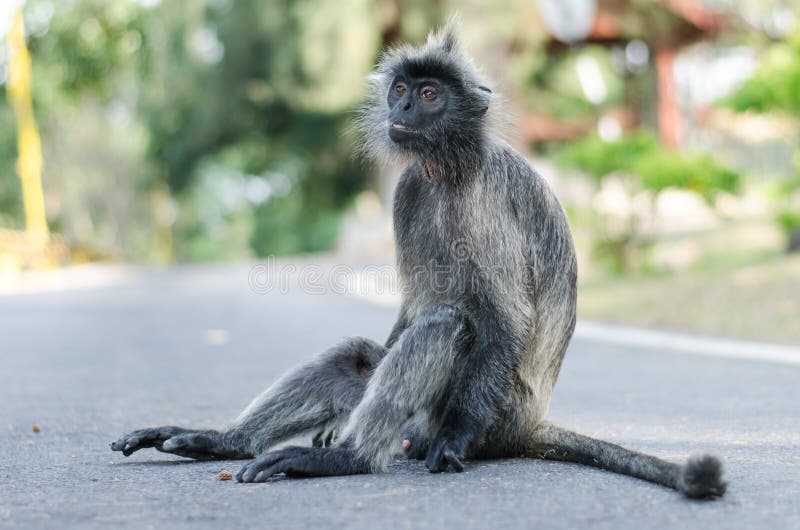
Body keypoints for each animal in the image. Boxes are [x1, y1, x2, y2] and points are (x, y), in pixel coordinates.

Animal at [111, 24, 726, 499]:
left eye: (431, 94)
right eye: (402, 89)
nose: (402, 106)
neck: (446, 167)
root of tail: (529, 424)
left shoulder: (483, 199)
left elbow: (506, 319)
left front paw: (447, 442)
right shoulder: (408, 190)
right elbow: (406, 310)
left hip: (495, 412)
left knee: (447, 324)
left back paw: (348, 458)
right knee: (360, 358)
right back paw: (224, 441)